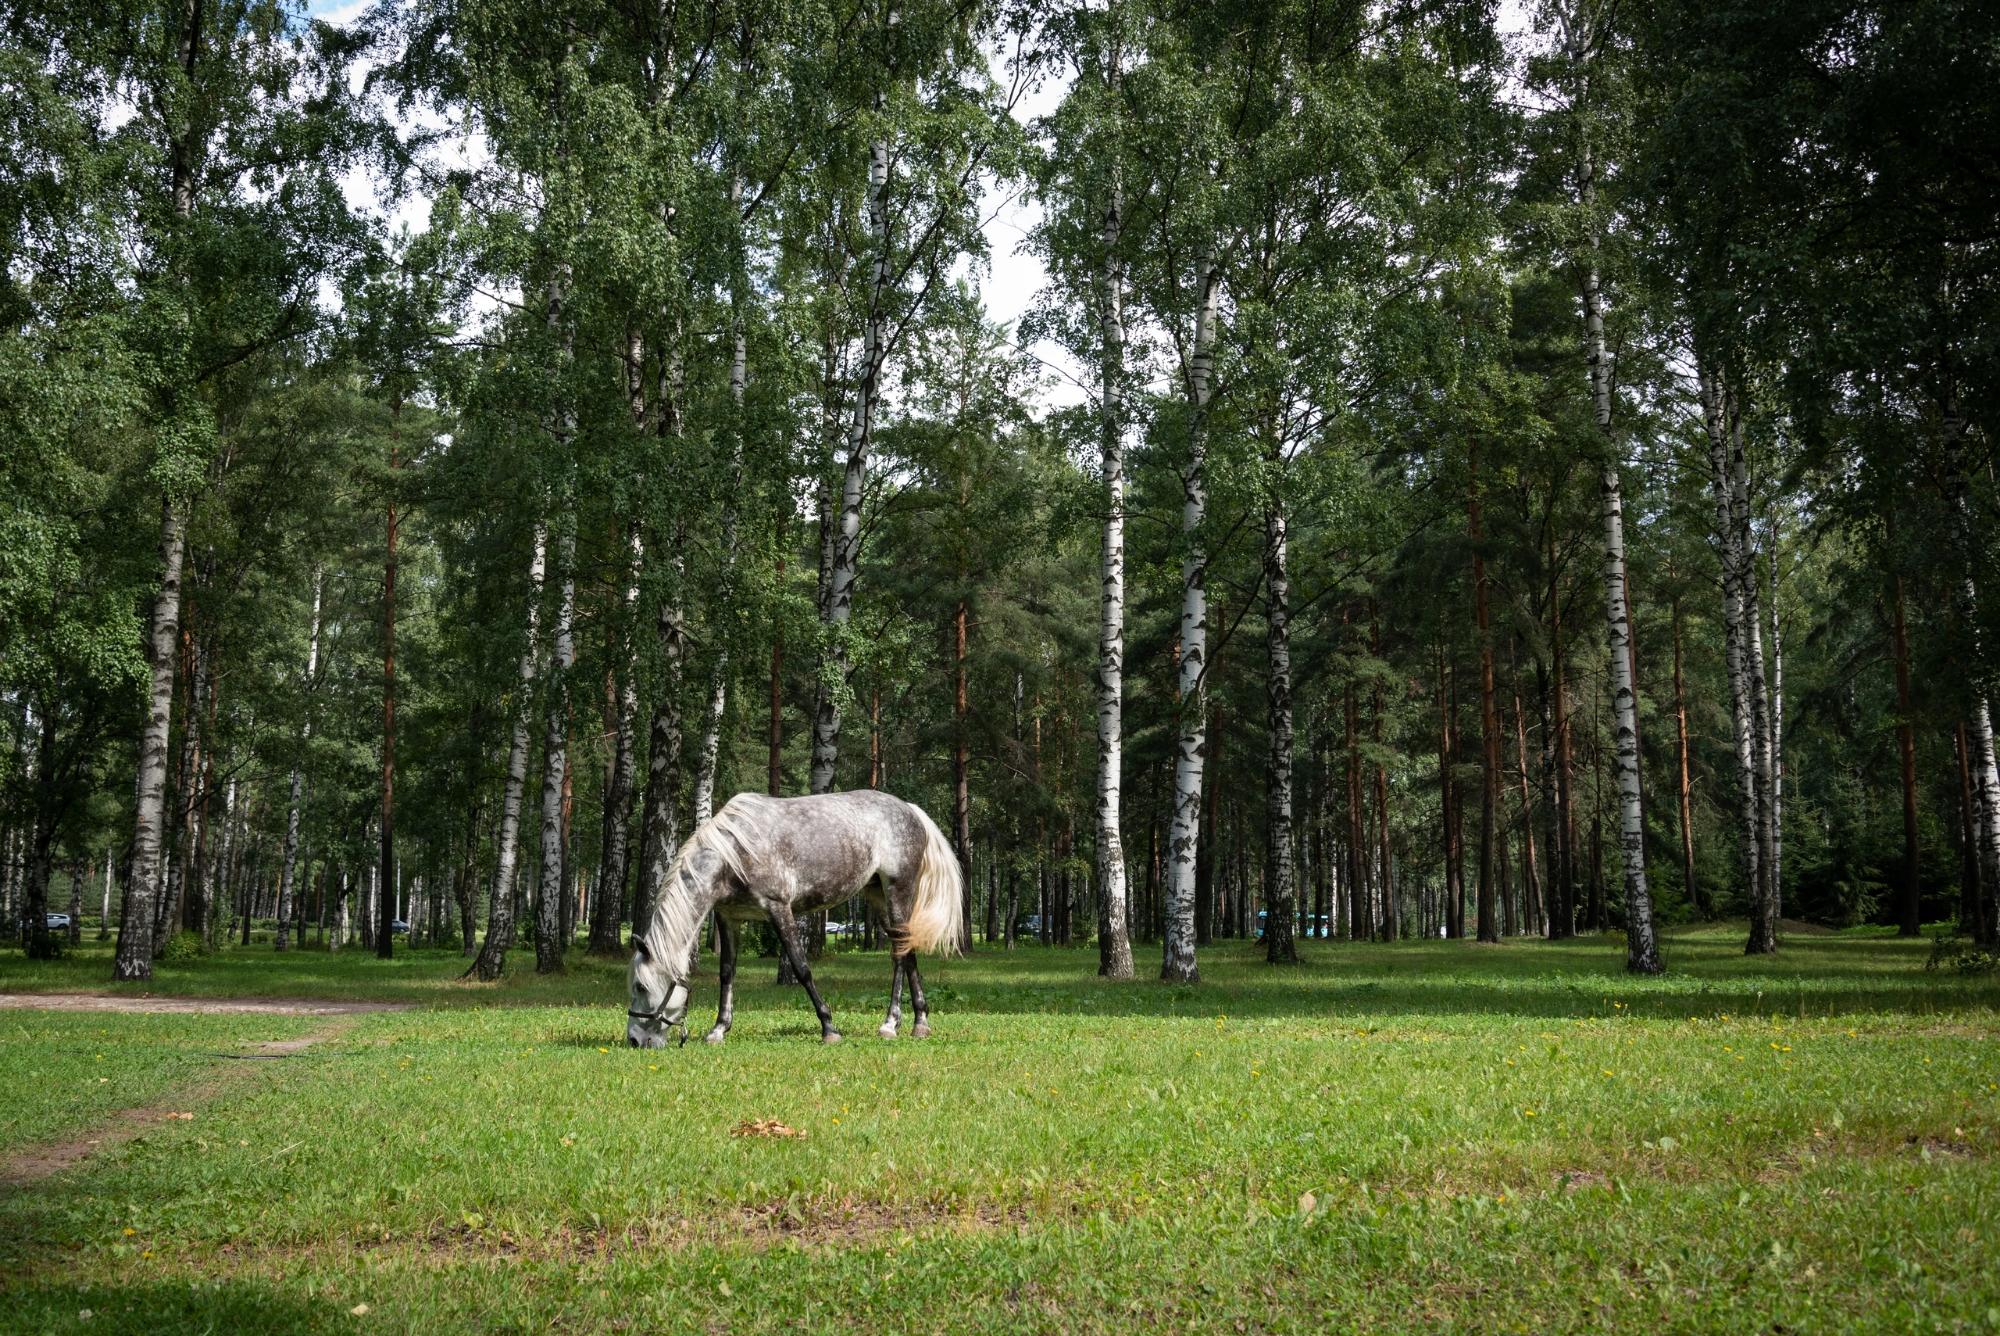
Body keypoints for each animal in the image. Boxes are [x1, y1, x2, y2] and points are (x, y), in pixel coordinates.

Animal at [628, 788, 964, 1048]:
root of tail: (910, 809)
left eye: (641, 987)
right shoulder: (728, 917)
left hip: (898, 890)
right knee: (904, 952)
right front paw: (718, 1029)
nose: (634, 1040)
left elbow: (801, 967)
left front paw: (829, 1028)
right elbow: (727, 972)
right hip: (878, 895)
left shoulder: (779, 909)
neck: (734, 852)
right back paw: (912, 1023)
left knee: (900, 954)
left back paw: (896, 1024)